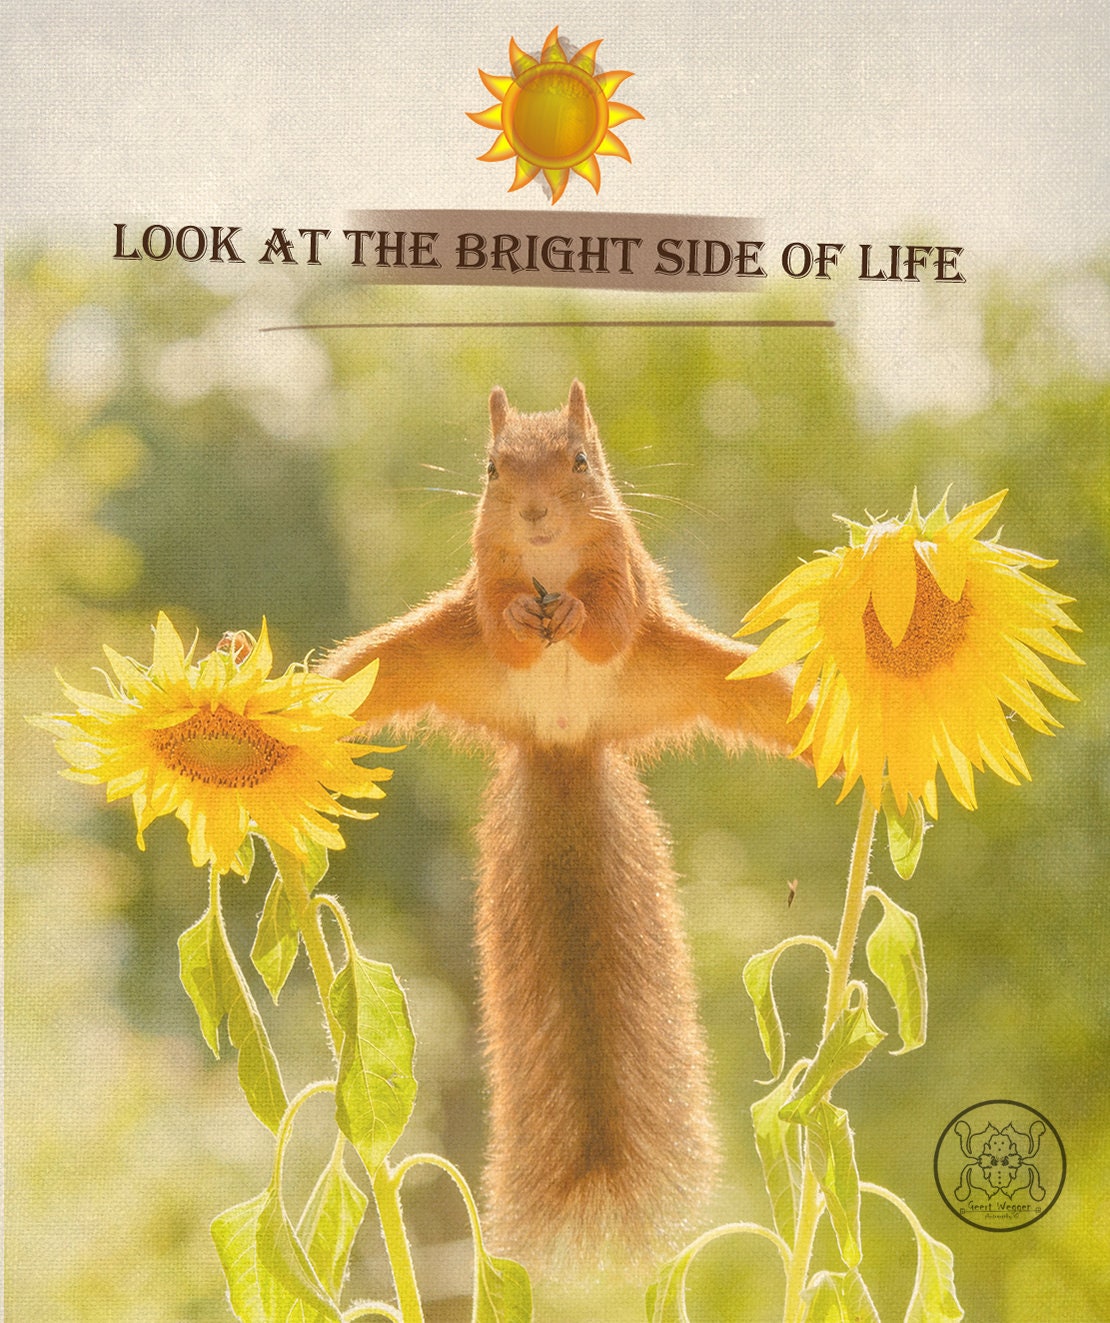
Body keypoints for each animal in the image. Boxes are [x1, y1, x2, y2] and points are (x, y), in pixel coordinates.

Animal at [317, 381, 810, 1272]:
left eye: (582, 461)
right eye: (492, 469)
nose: (537, 512)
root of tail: (564, 739)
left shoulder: (626, 571)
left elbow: (607, 618)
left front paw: (574, 610)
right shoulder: (485, 573)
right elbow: (501, 618)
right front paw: (525, 614)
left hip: (697, 671)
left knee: (767, 702)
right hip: (407, 660)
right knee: (352, 678)